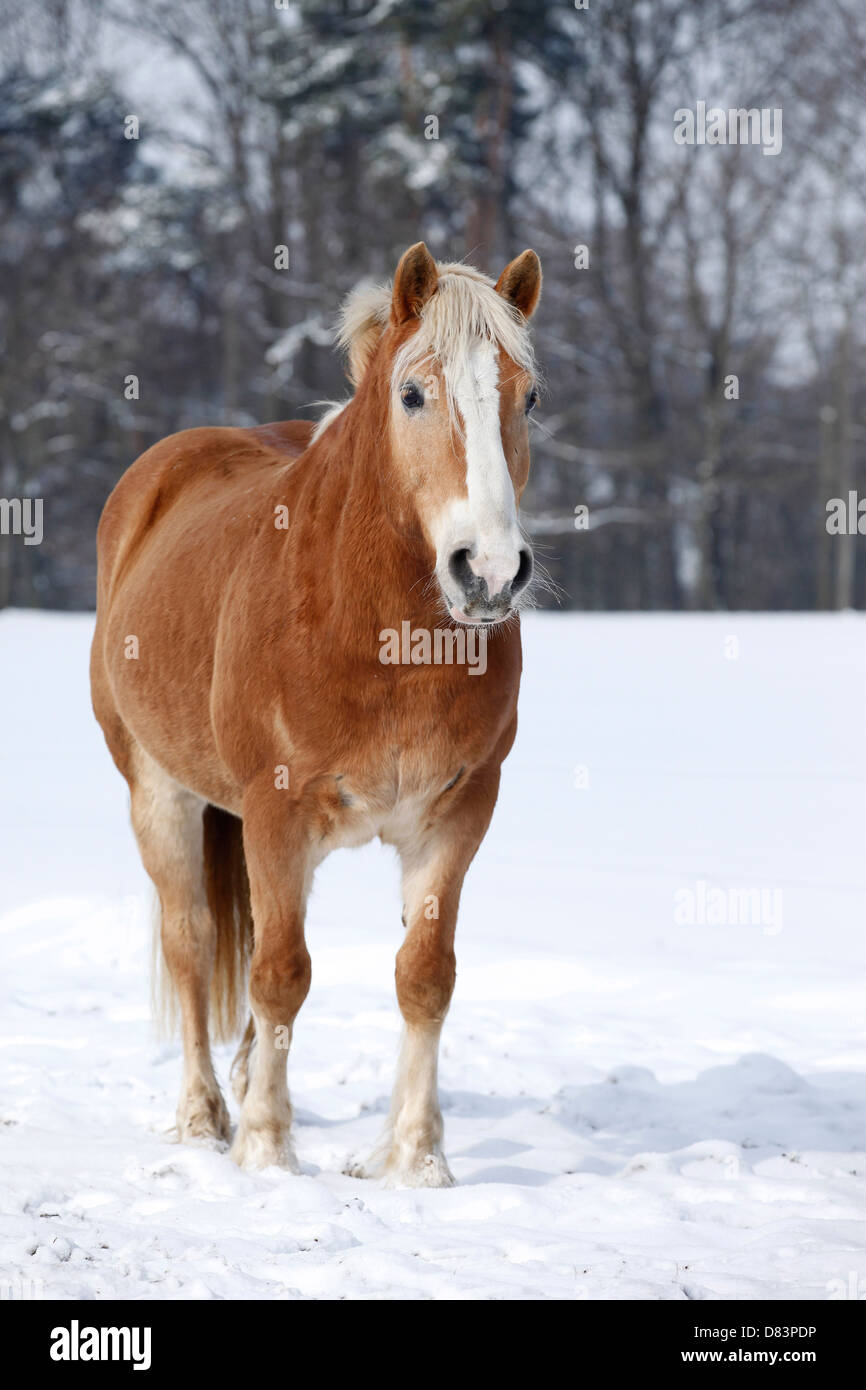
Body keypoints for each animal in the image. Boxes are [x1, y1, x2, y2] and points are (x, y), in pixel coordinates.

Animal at [90, 242, 542, 1187]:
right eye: (412, 393)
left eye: (530, 397)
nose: (488, 572)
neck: (377, 632)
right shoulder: (275, 811)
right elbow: (280, 973)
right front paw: (265, 1146)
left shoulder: (458, 815)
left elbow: (424, 976)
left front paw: (416, 1159)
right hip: (161, 795)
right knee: (193, 943)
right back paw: (203, 1114)